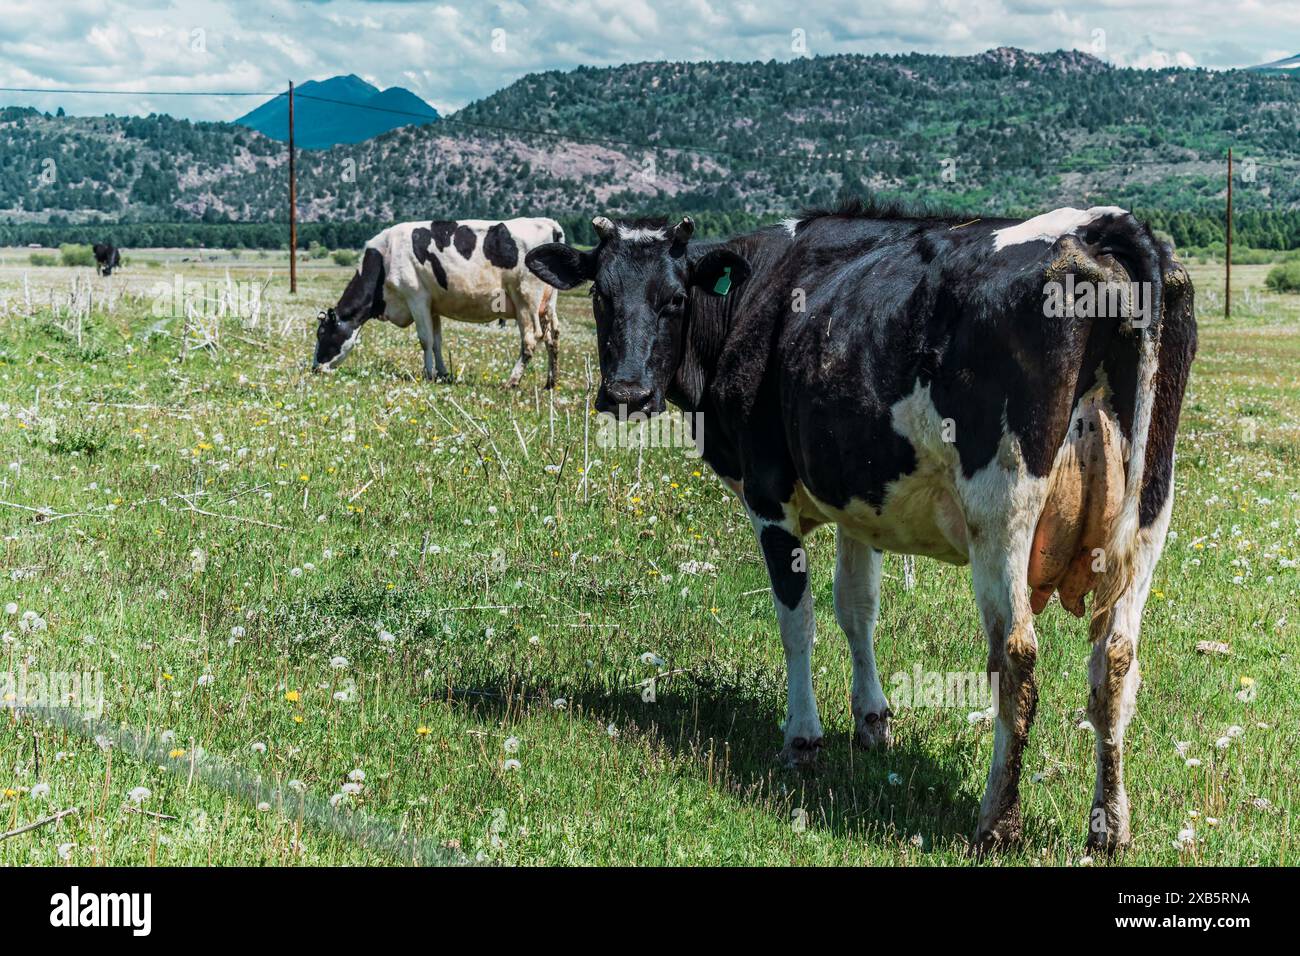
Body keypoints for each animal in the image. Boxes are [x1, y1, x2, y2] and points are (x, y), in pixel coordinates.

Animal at [313, 217, 564, 387]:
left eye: (321, 333)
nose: (315, 368)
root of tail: (547, 223)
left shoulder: (416, 297)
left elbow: (424, 340)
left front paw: (428, 374)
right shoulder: (433, 305)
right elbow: (436, 341)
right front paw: (442, 374)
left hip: (526, 298)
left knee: (531, 338)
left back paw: (511, 381)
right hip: (548, 303)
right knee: (552, 336)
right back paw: (550, 383)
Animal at [525, 202, 1197, 853]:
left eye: (673, 299)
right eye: (601, 295)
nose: (626, 393)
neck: (755, 297)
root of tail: (1098, 228)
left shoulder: (768, 493)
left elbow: (798, 620)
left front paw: (803, 737)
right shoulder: (858, 498)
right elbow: (856, 608)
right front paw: (873, 720)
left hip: (1002, 510)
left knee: (1017, 658)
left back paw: (997, 822)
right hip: (1149, 514)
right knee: (1115, 661)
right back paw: (1109, 827)